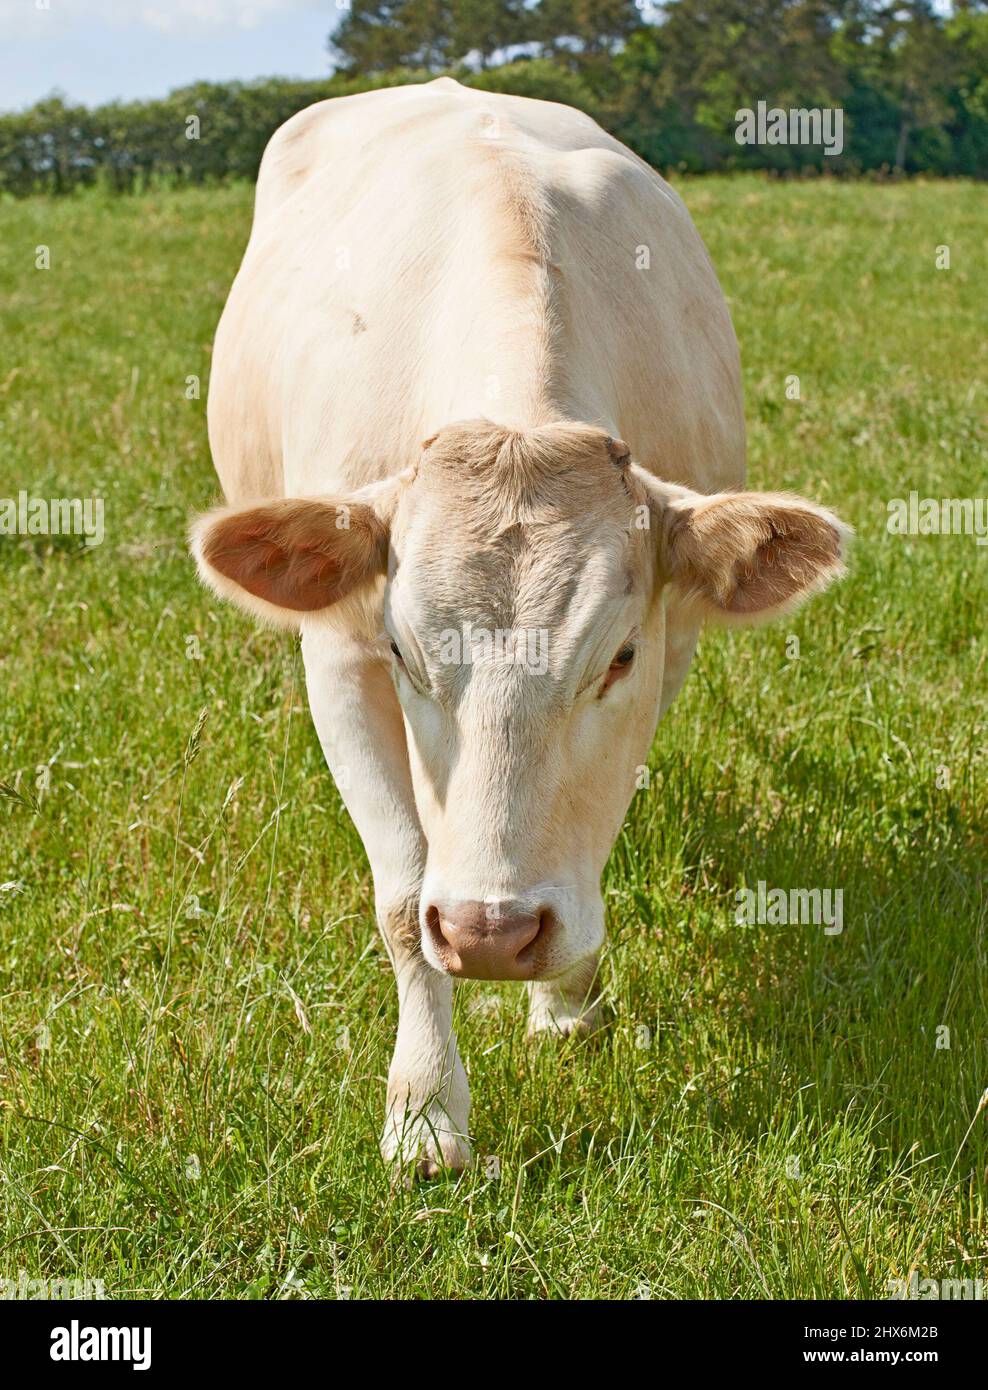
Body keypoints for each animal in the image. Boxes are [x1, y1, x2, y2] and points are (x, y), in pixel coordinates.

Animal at [192, 78, 847, 1177]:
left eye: (618, 656)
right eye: (405, 654)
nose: (492, 931)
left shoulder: (670, 650)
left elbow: (592, 817)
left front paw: (565, 1002)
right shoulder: (338, 659)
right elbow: (400, 896)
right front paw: (424, 1110)